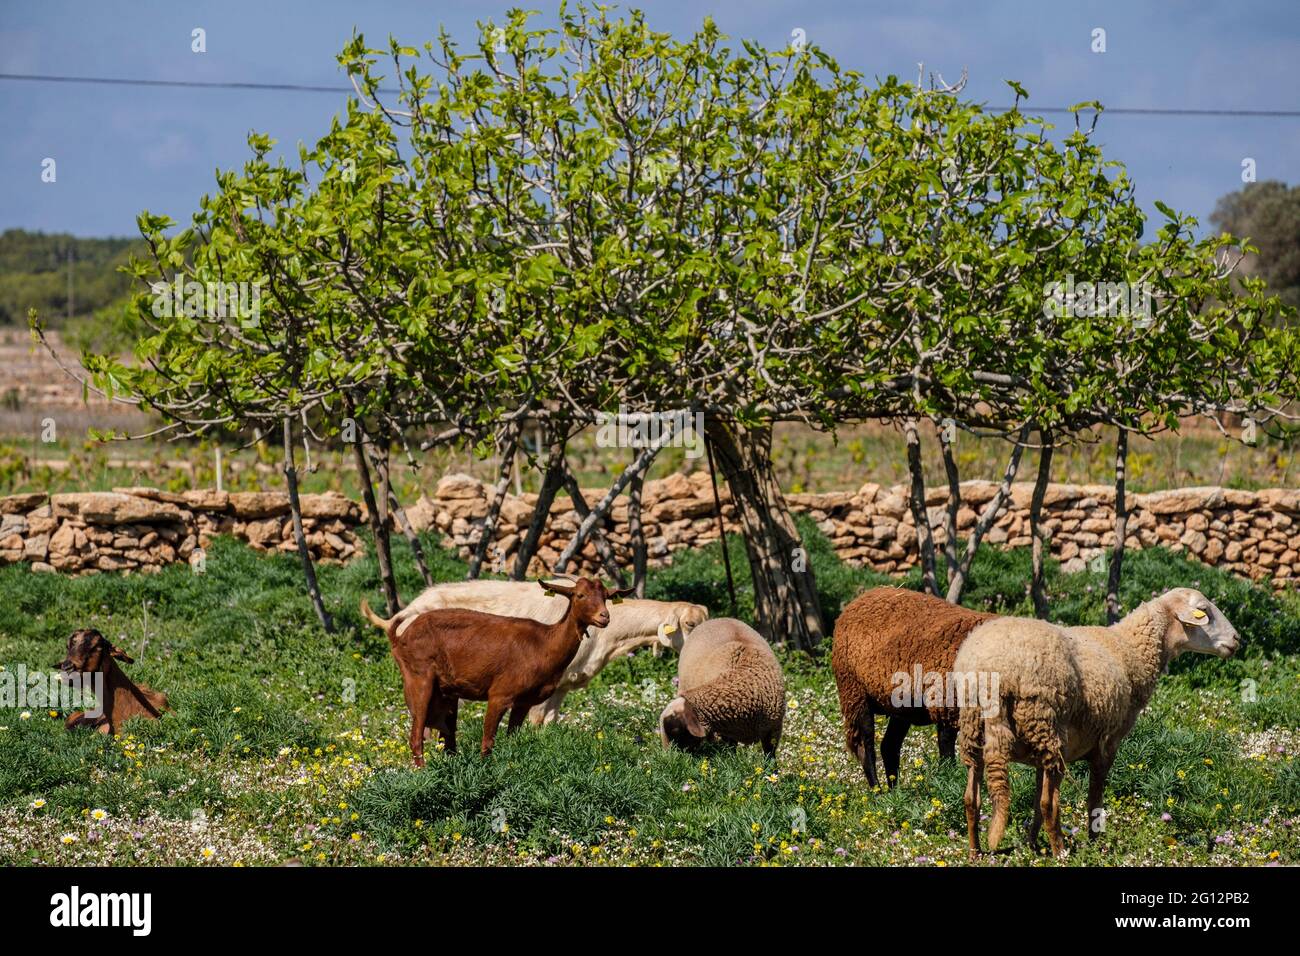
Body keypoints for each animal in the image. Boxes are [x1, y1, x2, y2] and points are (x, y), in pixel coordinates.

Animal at [368, 577, 631, 764]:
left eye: (607, 597)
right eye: (580, 595)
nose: (604, 617)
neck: (544, 643)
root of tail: (398, 637)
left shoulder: (524, 701)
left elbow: (511, 738)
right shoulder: (499, 695)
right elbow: (488, 742)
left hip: (445, 693)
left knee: (447, 738)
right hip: (418, 678)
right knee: (416, 737)